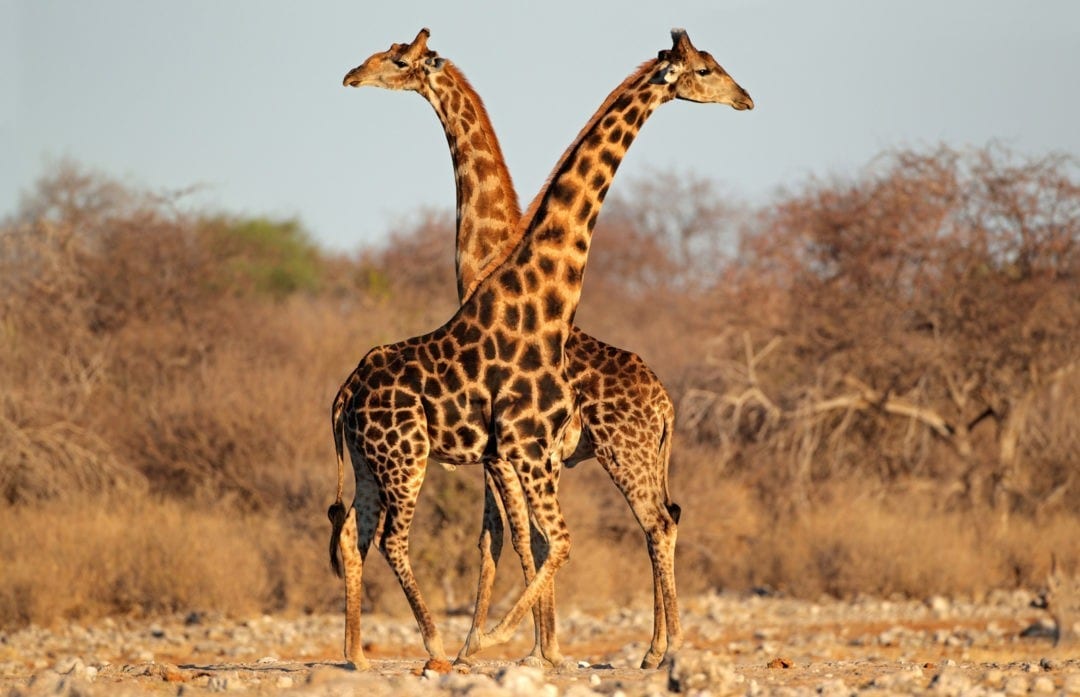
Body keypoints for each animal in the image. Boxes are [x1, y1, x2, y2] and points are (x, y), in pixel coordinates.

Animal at [328, 28, 753, 672]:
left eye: (396, 59)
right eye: (705, 68)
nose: (745, 98)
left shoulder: (518, 452)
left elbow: (523, 538)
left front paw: (525, 646)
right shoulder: (513, 451)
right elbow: (523, 538)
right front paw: (519, 645)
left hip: (603, 454)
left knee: (659, 520)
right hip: (402, 457)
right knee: (378, 536)